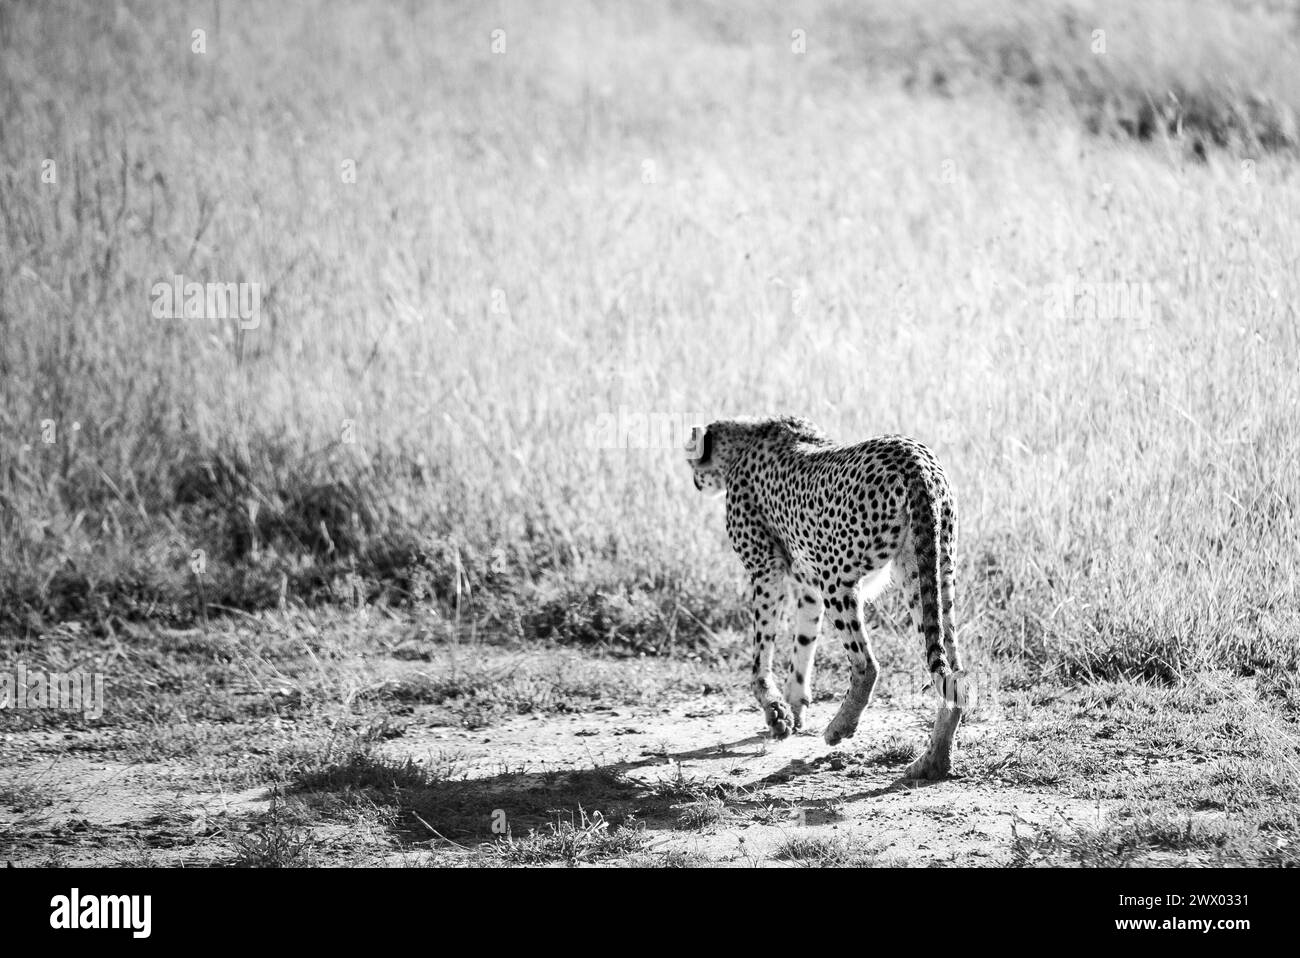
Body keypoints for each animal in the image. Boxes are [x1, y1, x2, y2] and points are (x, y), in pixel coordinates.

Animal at [684, 415, 971, 780]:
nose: (695, 482)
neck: (749, 437)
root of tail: (912, 456)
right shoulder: (808, 585)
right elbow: (803, 645)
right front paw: (793, 708)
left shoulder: (766, 570)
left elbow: (762, 649)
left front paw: (774, 711)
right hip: (928, 571)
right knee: (953, 672)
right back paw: (933, 760)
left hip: (839, 579)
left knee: (866, 664)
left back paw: (840, 728)